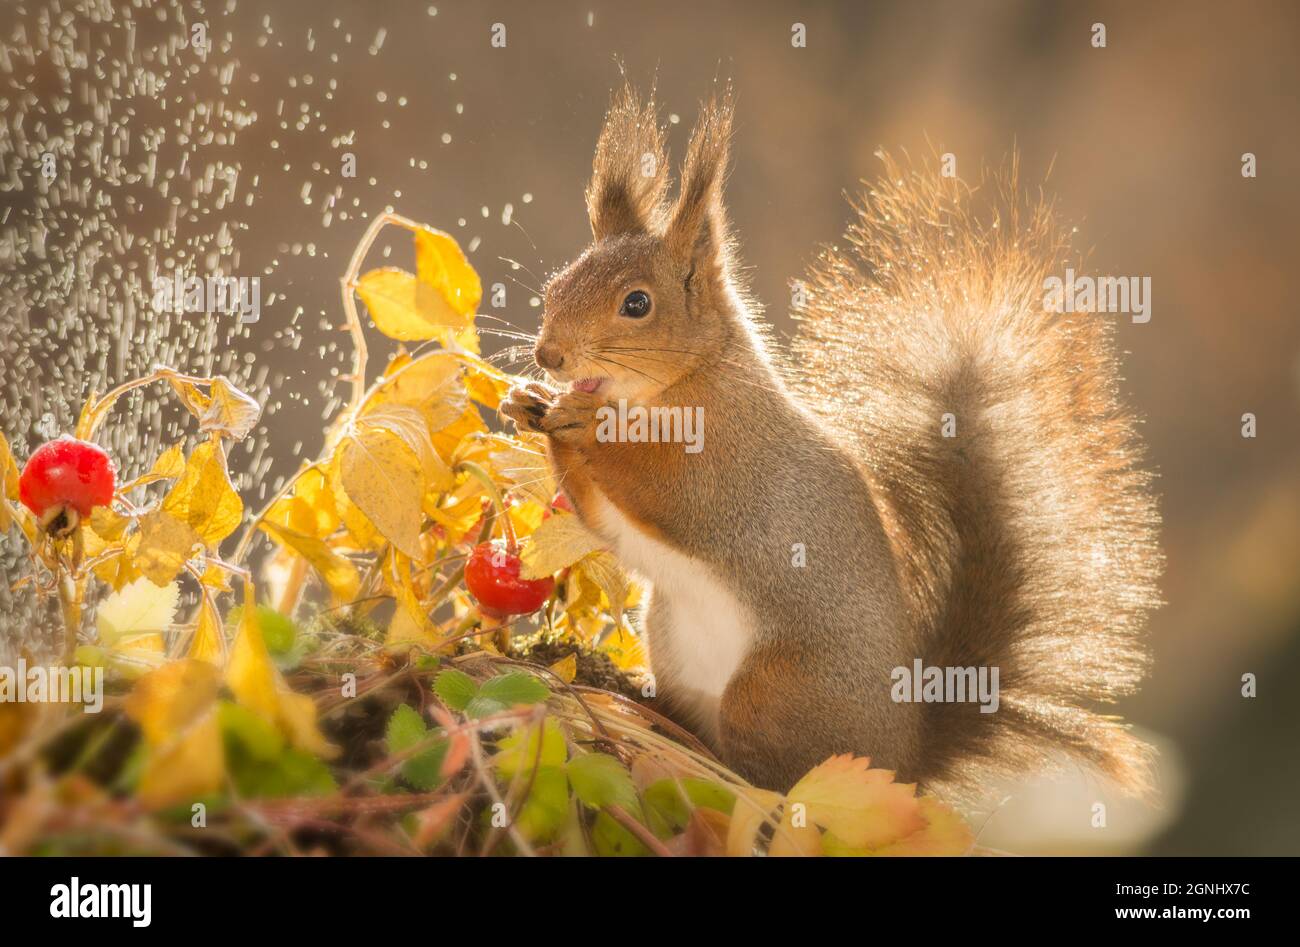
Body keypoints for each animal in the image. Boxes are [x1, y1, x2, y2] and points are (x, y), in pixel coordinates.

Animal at [501, 83, 1162, 800]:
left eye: (637, 304)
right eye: (557, 284)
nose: (548, 355)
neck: (674, 385)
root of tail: (900, 761)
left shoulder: (733, 465)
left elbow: (673, 494)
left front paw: (586, 423)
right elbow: (601, 518)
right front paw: (527, 403)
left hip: (774, 690)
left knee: (774, 778)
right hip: (673, 639)